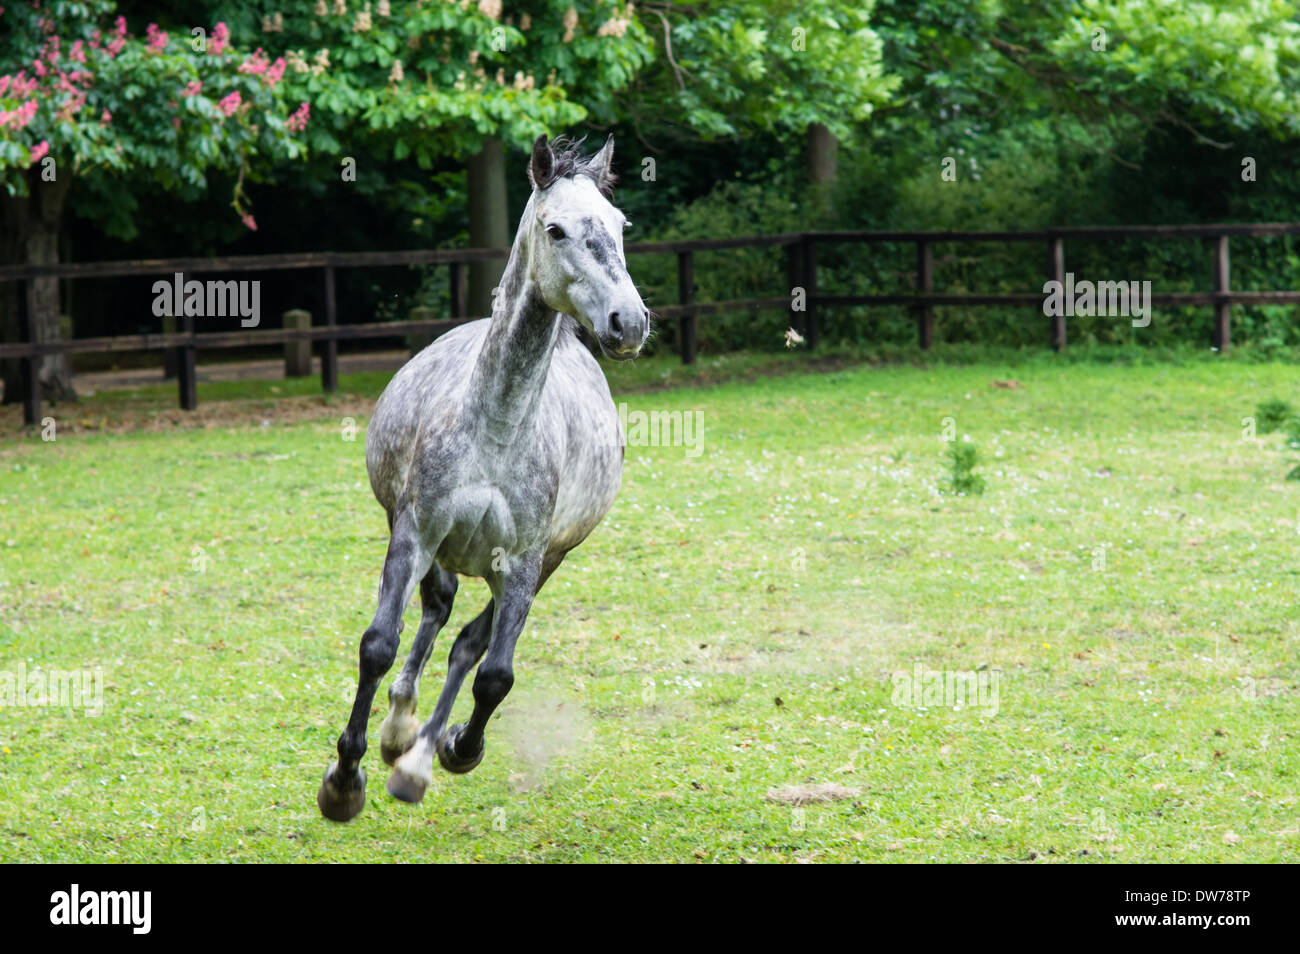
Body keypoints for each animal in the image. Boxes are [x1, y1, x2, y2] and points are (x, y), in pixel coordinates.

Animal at [317, 134, 649, 821]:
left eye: (620, 225)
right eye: (556, 229)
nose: (627, 323)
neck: (496, 427)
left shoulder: (523, 561)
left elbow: (495, 671)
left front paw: (452, 750)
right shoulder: (414, 532)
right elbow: (379, 644)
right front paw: (343, 781)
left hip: (548, 560)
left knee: (468, 641)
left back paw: (415, 753)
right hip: (423, 537)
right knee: (436, 612)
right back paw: (397, 728)